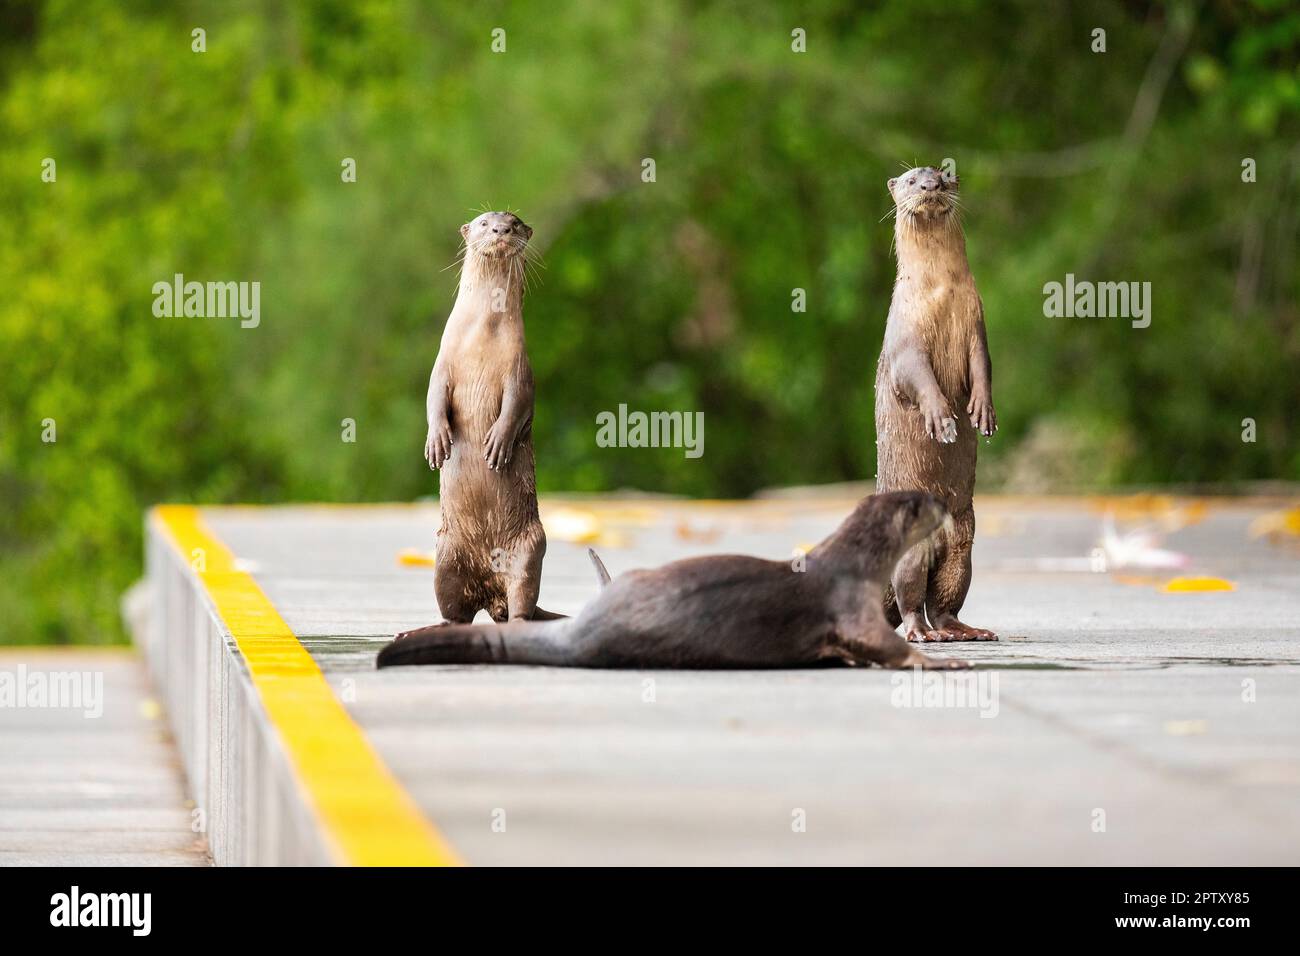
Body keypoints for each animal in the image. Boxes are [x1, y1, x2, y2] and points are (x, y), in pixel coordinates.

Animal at [379, 492, 970, 670]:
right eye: (923, 501)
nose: (943, 503)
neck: (852, 560)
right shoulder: (851, 602)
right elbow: (881, 643)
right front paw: (935, 662)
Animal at [410, 210, 559, 628]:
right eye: (482, 223)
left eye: (516, 222)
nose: (501, 229)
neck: (481, 340)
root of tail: (490, 592)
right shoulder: (443, 361)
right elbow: (433, 397)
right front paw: (436, 442)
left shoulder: (520, 369)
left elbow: (516, 405)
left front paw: (498, 442)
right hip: (444, 554)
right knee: (454, 610)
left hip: (530, 547)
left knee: (522, 599)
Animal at [875, 166, 998, 644]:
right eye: (911, 179)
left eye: (945, 175)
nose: (930, 185)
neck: (941, 295)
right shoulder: (904, 339)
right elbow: (920, 379)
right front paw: (942, 418)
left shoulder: (977, 324)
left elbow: (982, 367)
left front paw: (982, 411)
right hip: (913, 547)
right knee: (910, 596)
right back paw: (921, 633)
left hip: (964, 544)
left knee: (944, 597)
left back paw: (965, 630)